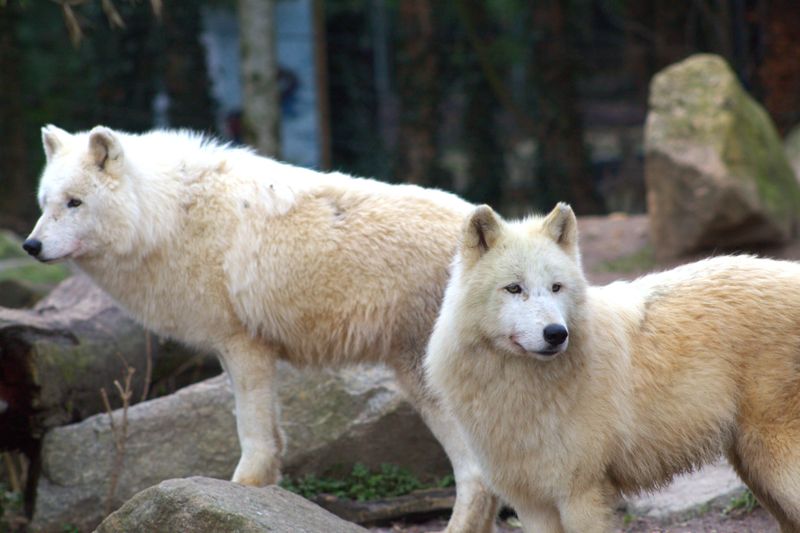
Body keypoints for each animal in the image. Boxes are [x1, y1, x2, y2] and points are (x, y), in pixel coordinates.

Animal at [23, 125, 498, 532]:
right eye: (45, 203)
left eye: (74, 202)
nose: (31, 245)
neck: (170, 216)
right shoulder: (240, 351)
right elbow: (270, 435)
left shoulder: (242, 346)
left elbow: (252, 433)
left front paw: (240, 492)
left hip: (423, 384)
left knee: (477, 475)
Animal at [425, 202, 800, 533]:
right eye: (514, 288)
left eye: (556, 287)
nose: (556, 333)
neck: (519, 389)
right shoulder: (532, 504)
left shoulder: (581, 495)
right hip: (754, 469)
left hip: (773, 465)